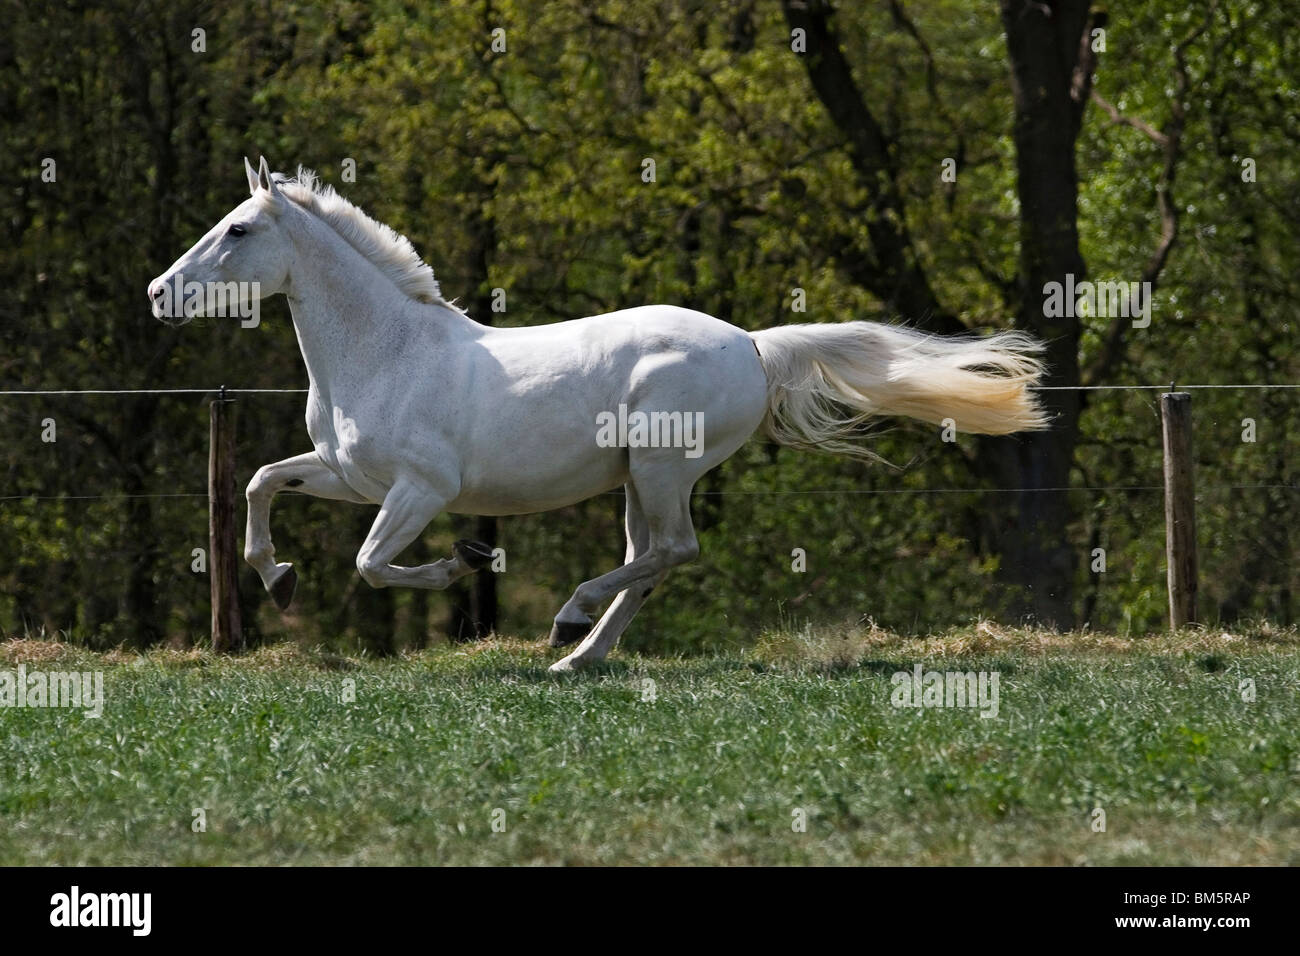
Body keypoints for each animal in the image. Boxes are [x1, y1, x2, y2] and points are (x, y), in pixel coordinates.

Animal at [148, 157, 1048, 671]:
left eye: (238, 229)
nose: (159, 293)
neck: (387, 352)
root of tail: (754, 345)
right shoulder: (348, 475)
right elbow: (263, 483)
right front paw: (280, 581)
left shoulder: (420, 491)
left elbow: (372, 562)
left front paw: (460, 564)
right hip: (637, 482)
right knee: (650, 562)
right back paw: (576, 658)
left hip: (659, 468)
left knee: (671, 552)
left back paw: (567, 620)